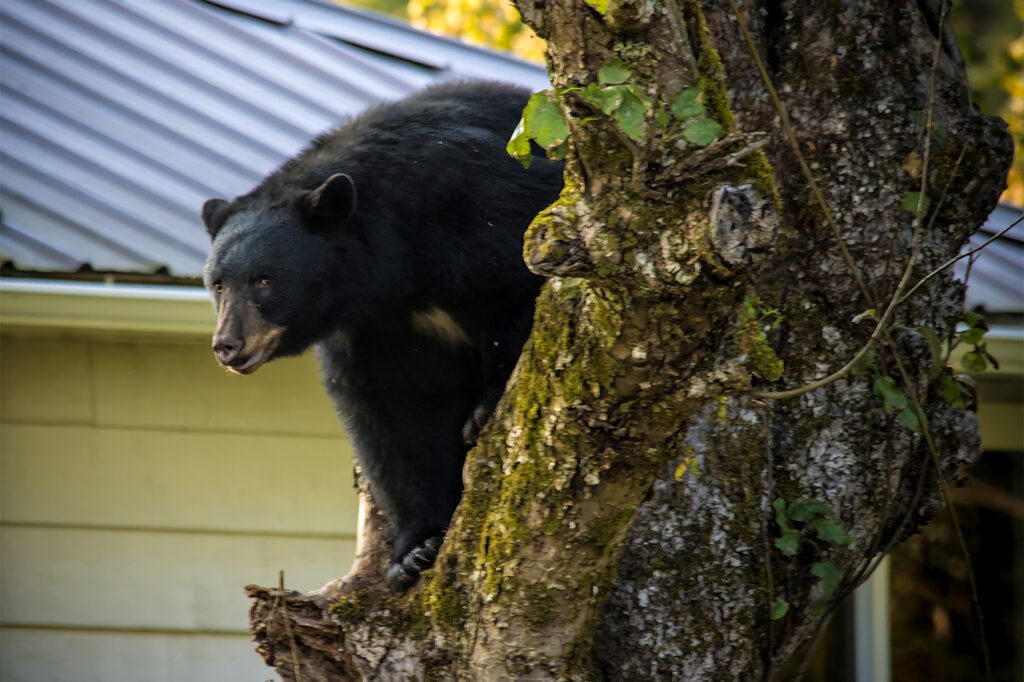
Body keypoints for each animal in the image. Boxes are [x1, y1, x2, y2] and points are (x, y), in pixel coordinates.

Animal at [201, 81, 564, 592]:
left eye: (264, 280)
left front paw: (486, 407)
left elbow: (522, 288)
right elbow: (390, 417)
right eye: (218, 283)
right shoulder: (371, 329)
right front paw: (415, 550)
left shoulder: (484, 204)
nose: (227, 345)